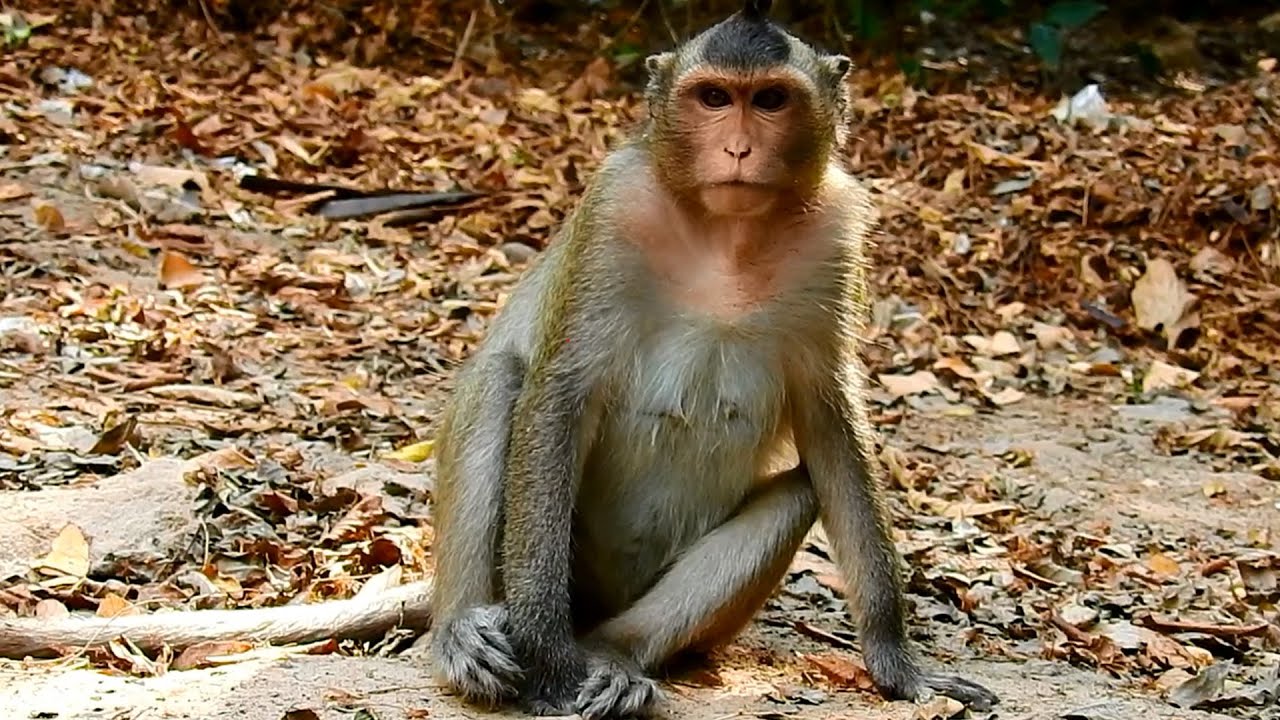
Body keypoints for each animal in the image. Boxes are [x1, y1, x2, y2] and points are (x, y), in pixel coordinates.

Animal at [426, 1, 1000, 718]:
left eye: (772, 100)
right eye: (715, 98)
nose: (738, 149)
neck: (728, 236)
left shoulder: (835, 234)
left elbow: (831, 426)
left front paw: (896, 658)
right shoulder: (615, 207)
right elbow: (560, 393)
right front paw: (549, 663)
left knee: (800, 492)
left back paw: (616, 657)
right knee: (506, 379)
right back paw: (465, 632)